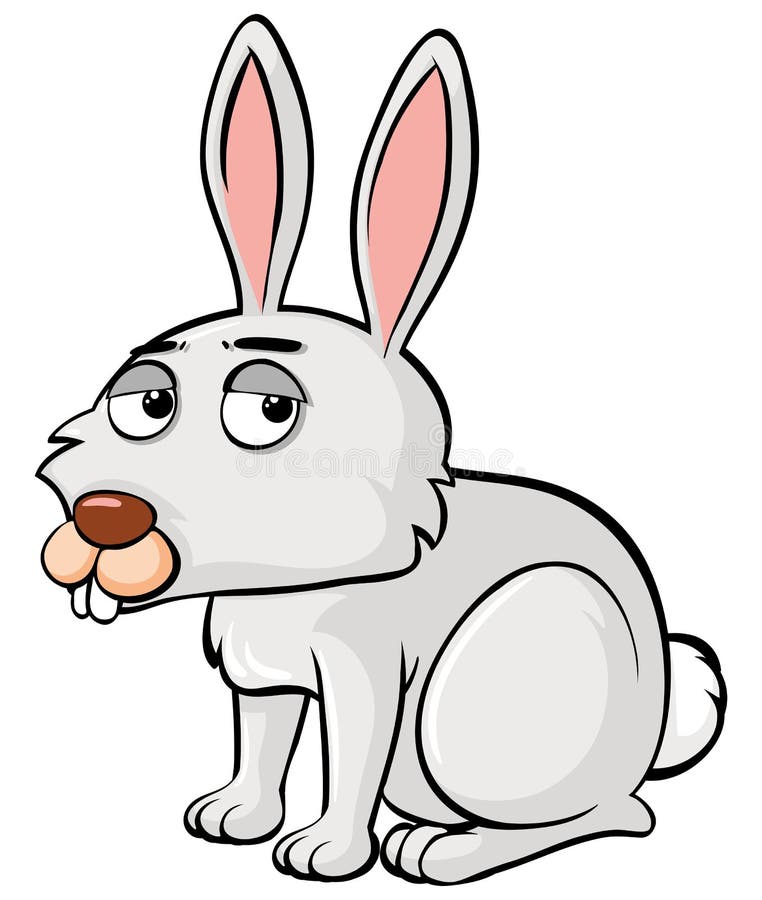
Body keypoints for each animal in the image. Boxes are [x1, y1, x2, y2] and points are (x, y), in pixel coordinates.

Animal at [38, 15, 726, 884]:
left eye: (268, 409)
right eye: (147, 401)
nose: (106, 515)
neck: (288, 589)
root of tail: (657, 716)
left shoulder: (364, 673)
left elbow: (350, 762)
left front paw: (324, 854)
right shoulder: (260, 678)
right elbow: (262, 742)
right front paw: (235, 818)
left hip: (487, 703)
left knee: (612, 815)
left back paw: (442, 850)